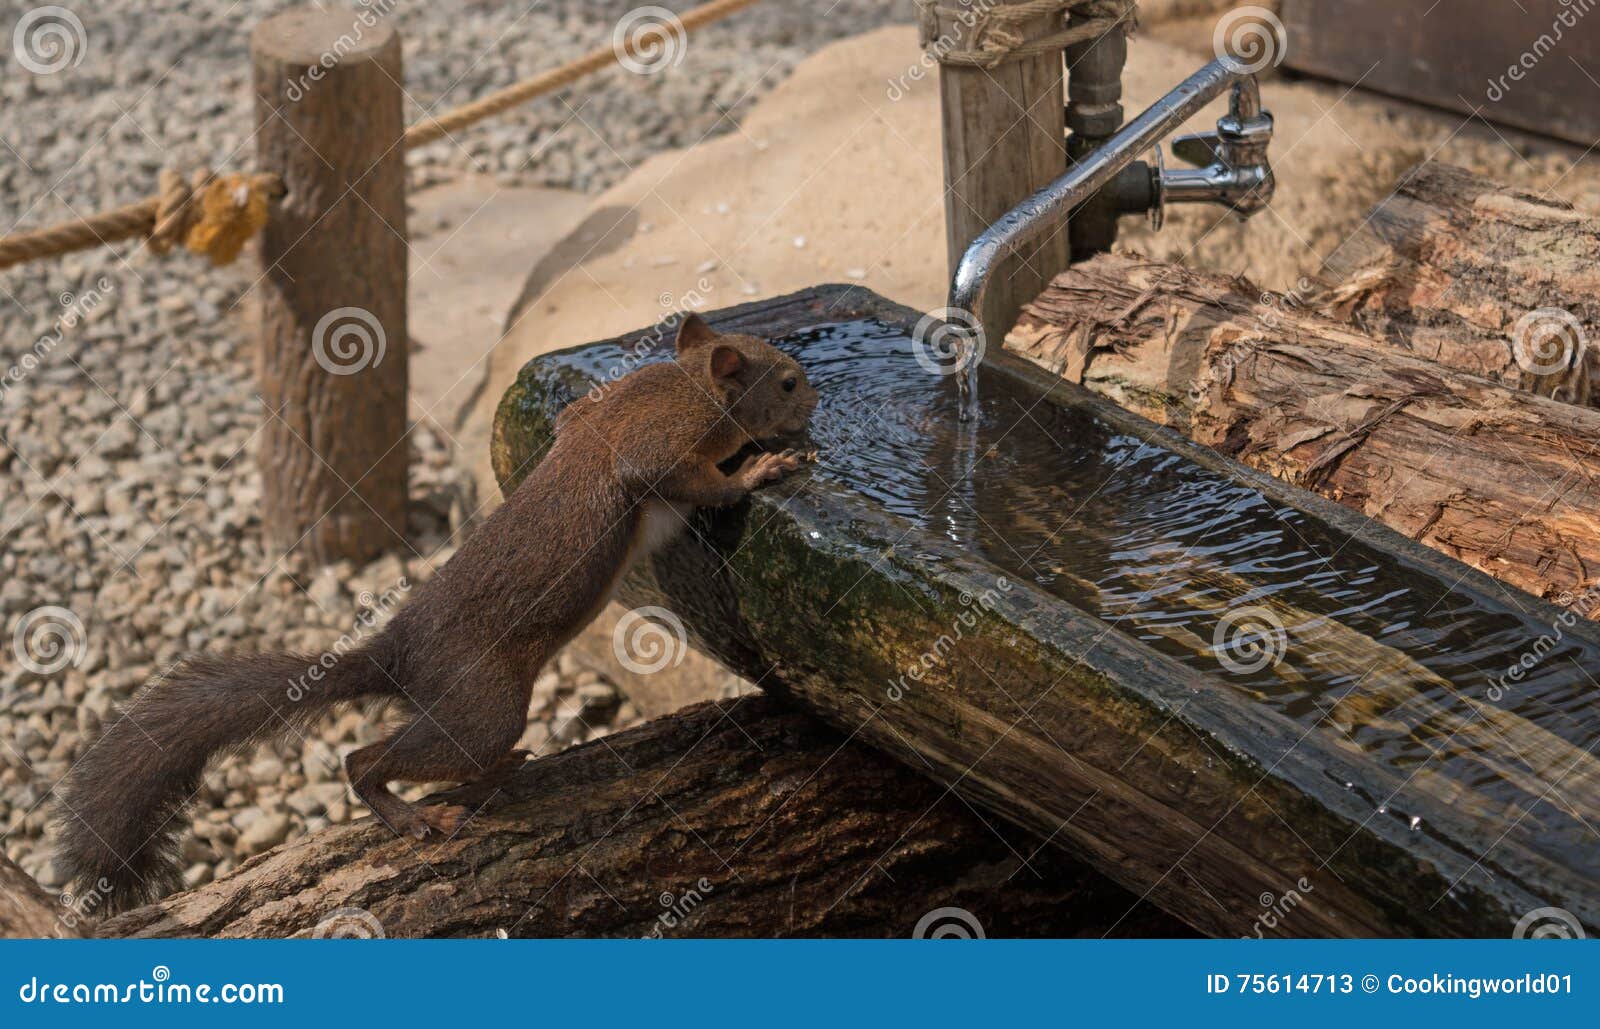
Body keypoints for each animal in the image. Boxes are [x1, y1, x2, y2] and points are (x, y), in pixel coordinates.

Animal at [56, 313, 818, 911]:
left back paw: (498, 773)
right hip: (483, 705)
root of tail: (399, 652)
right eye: (785, 381)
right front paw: (762, 468)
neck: (689, 384)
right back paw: (413, 816)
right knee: (366, 758)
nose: (814, 403)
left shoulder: (591, 417)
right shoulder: (660, 446)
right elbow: (695, 481)